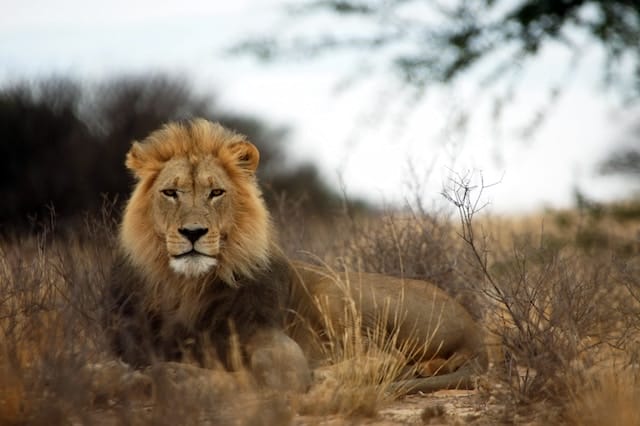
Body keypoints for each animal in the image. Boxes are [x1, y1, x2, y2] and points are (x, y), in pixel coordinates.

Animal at [105, 119, 487, 394]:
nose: (193, 232)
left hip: (333, 292)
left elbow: (262, 377)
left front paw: (173, 377)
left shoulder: (275, 345)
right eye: (170, 193)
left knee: (386, 354)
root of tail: (474, 329)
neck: (189, 287)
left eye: (216, 193)